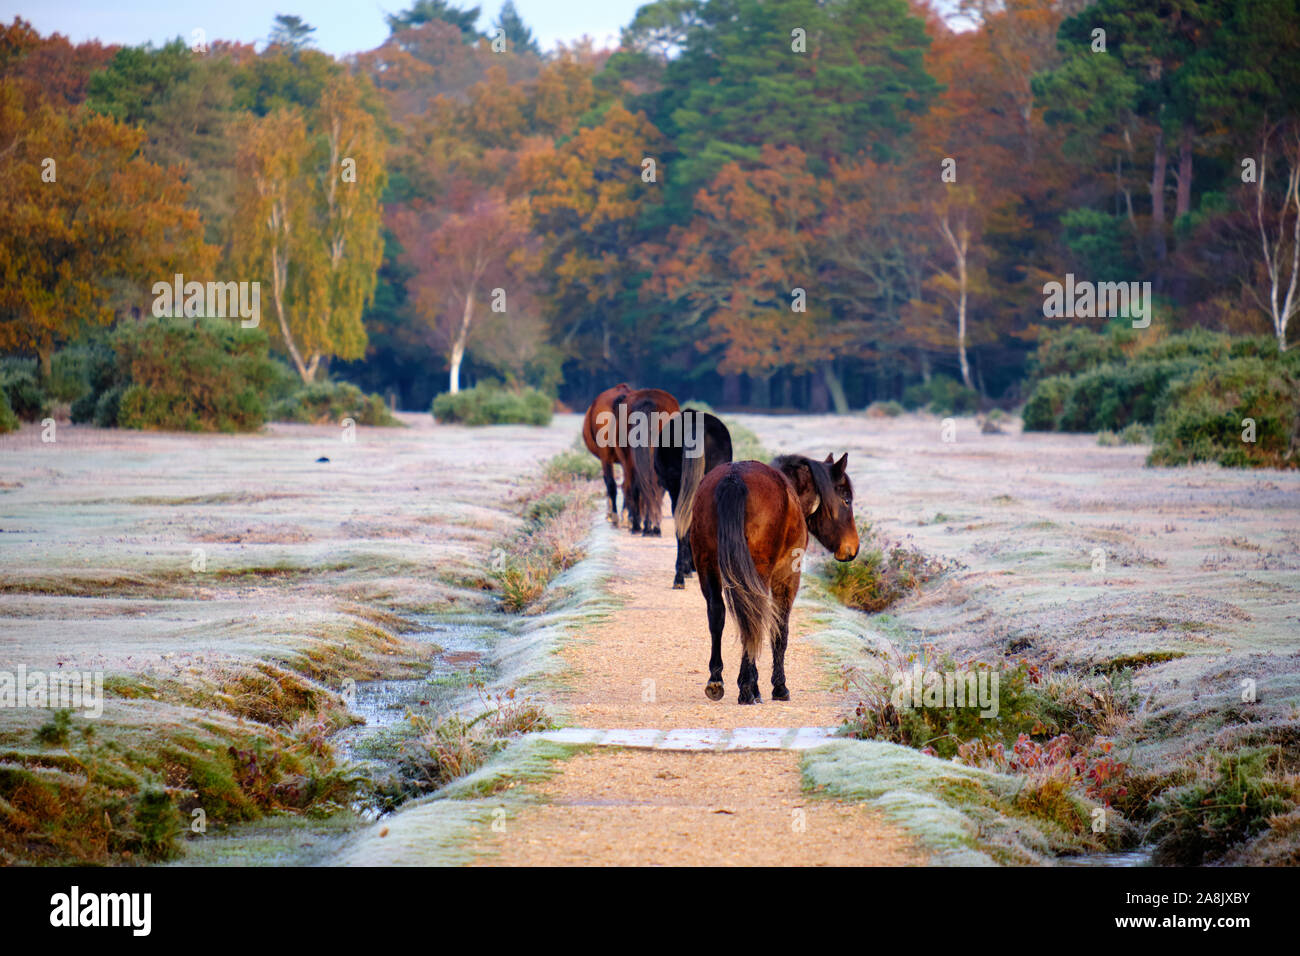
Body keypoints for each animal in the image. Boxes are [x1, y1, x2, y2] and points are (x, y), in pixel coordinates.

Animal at [689, 453, 858, 704]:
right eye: (846, 500)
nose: (853, 547)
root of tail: (733, 479)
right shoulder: (787, 577)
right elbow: (780, 630)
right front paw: (778, 686)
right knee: (753, 619)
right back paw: (747, 688)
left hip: (706, 566)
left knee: (718, 614)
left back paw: (716, 680)